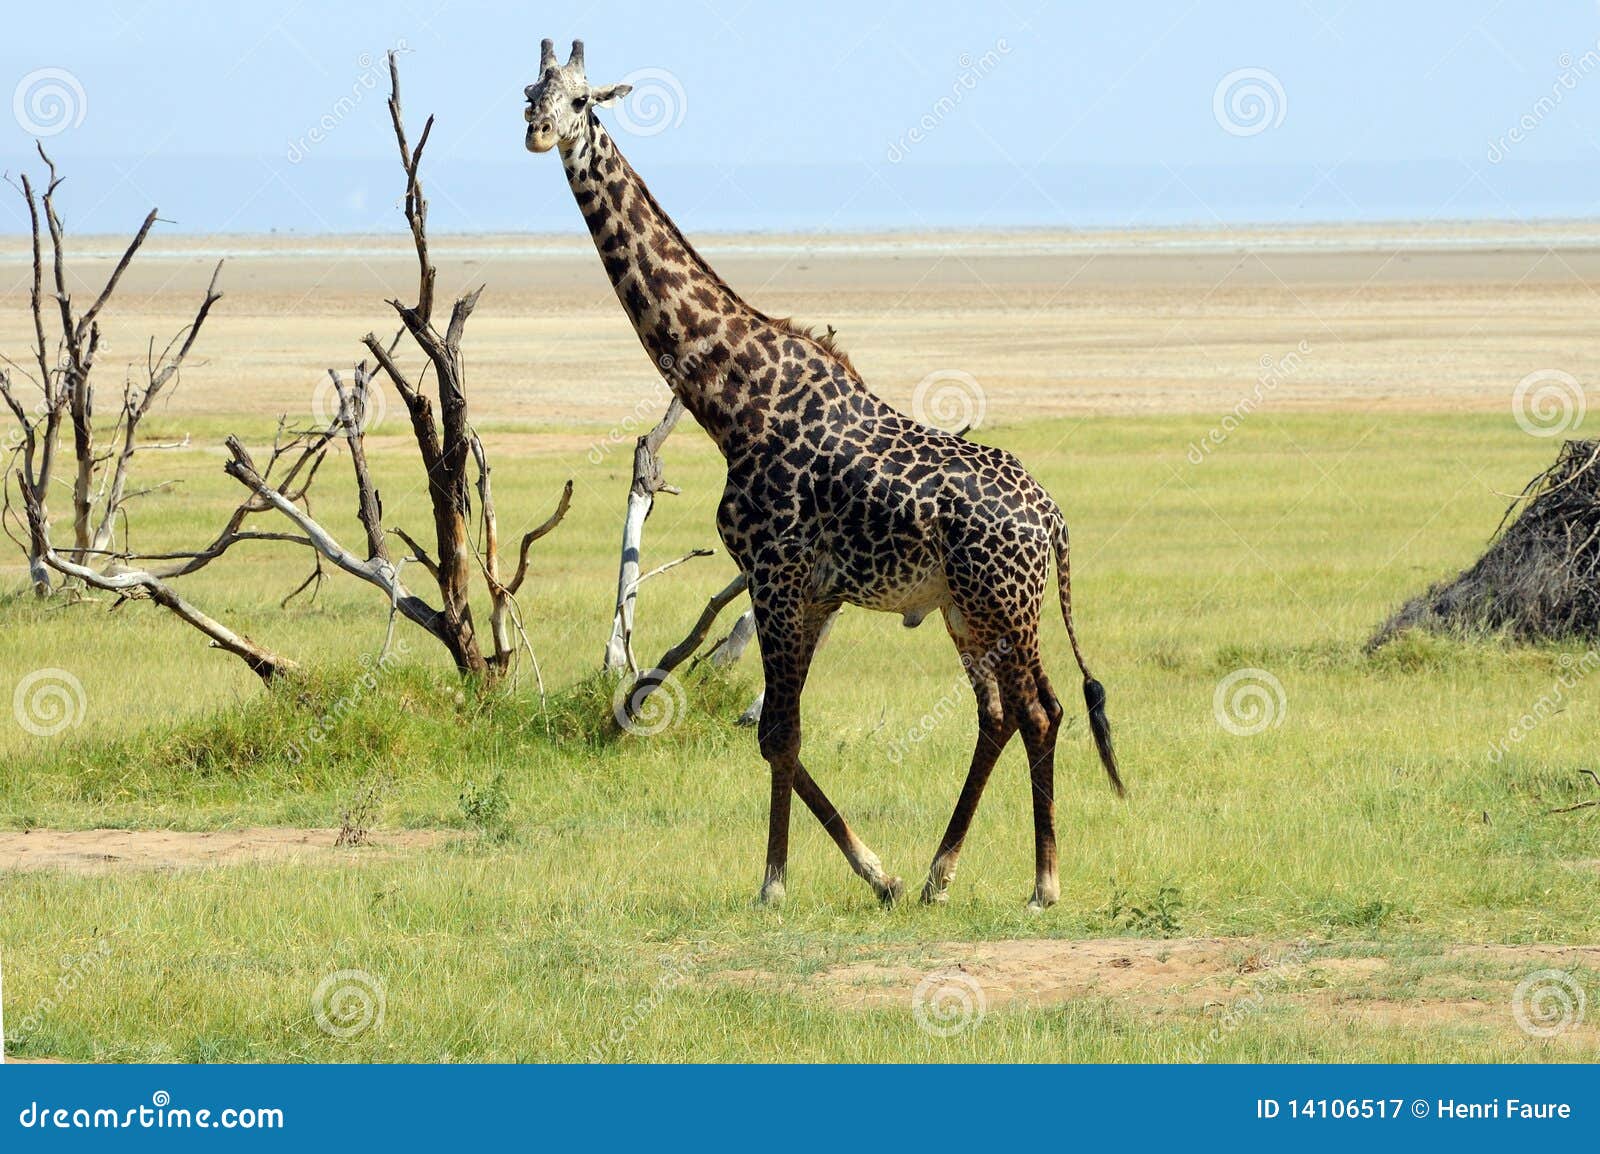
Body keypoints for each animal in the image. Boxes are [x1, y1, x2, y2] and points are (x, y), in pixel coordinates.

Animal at [525, 40, 1124, 910]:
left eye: (580, 100)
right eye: (528, 92)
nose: (538, 132)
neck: (731, 399)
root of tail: (1052, 518)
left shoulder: (775, 574)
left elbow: (778, 733)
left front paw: (780, 883)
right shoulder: (806, 591)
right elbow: (782, 731)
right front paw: (879, 874)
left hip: (1006, 603)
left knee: (1039, 710)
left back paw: (1043, 882)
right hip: (965, 609)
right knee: (999, 714)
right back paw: (940, 874)